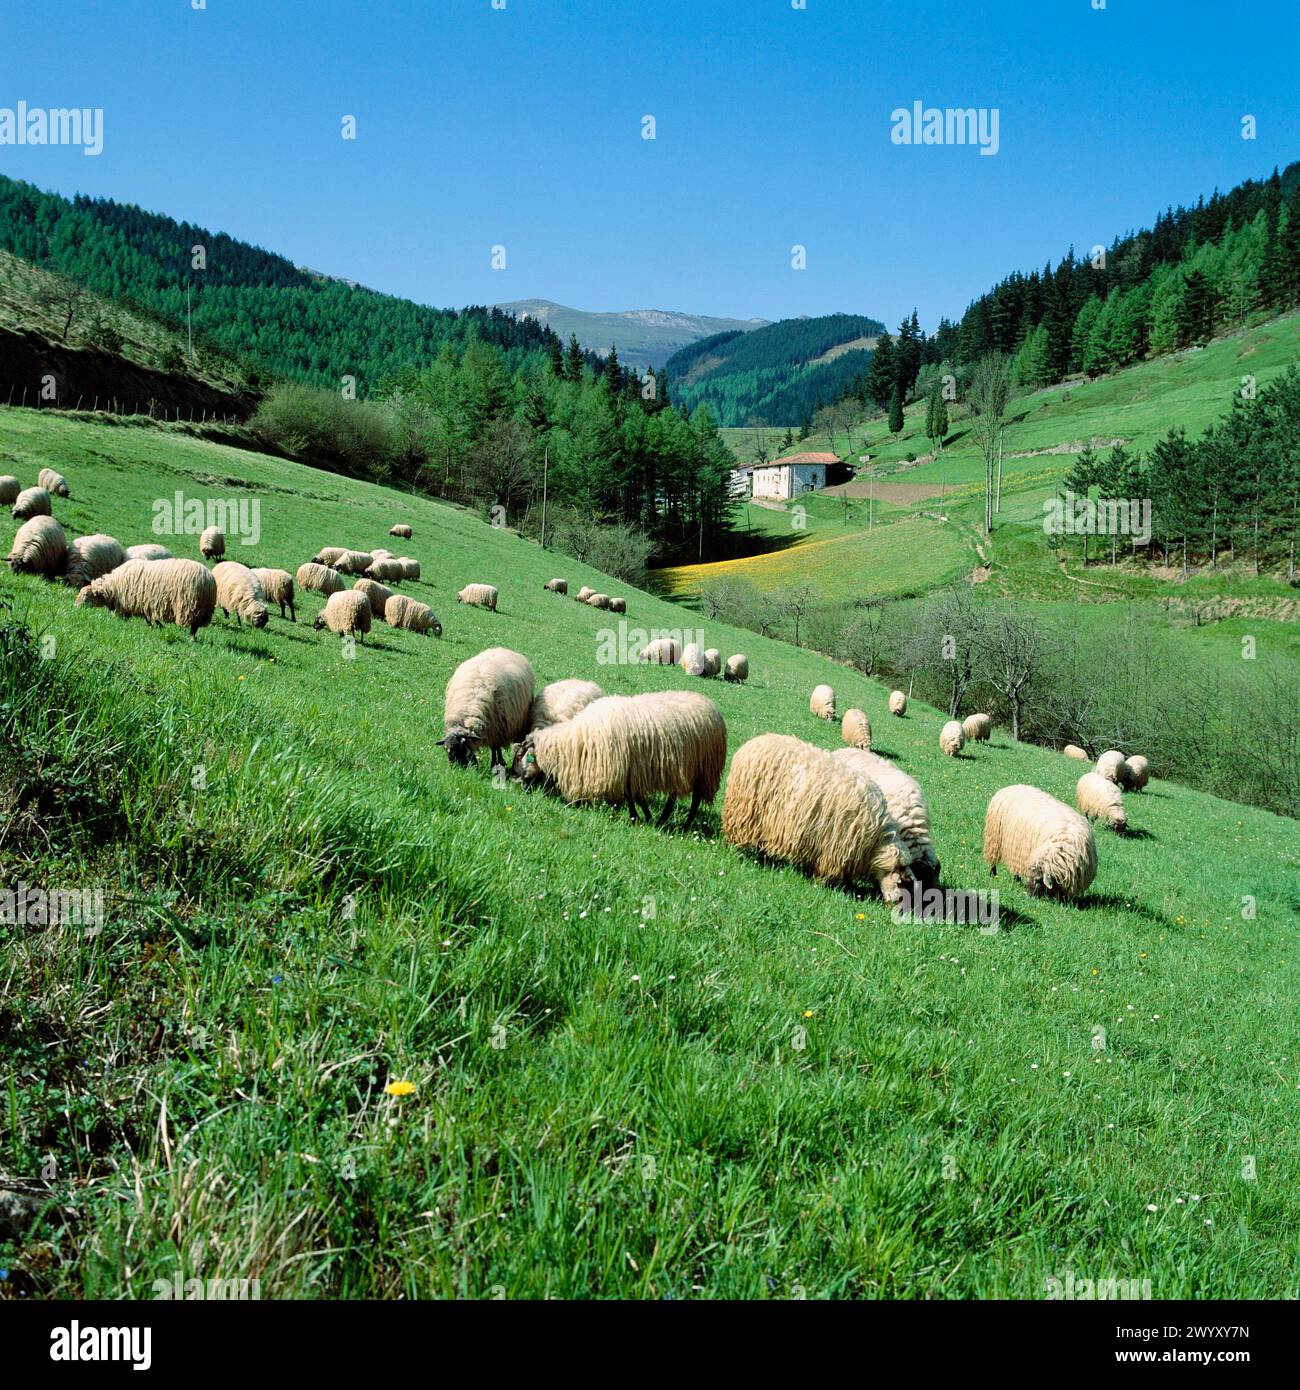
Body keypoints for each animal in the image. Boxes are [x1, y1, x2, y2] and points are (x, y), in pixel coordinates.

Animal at [76, 558, 216, 638]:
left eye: (85, 597)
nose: (76, 608)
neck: (112, 587)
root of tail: (208, 578)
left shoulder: (131, 601)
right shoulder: (144, 602)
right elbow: (148, 617)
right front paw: (156, 627)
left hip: (191, 605)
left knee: (194, 626)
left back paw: (191, 639)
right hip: (204, 608)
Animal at [513, 689, 726, 830]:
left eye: (520, 756)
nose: (517, 782)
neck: (576, 741)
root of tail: (711, 705)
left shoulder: (622, 766)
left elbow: (631, 796)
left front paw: (638, 817)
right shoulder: (630, 769)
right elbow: (633, 796)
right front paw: (642, 817)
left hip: (704, 769)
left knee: (696, 800)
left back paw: (685, 825)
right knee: (674, 795)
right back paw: (663, 818)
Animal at [721, 734, 912, 898]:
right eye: (901, 882)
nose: (894, 902)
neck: (875, 841)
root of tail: (748, 745)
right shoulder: (835, 850)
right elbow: (827, 874)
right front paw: (826, 885)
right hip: (743, 812)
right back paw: (737, 852)